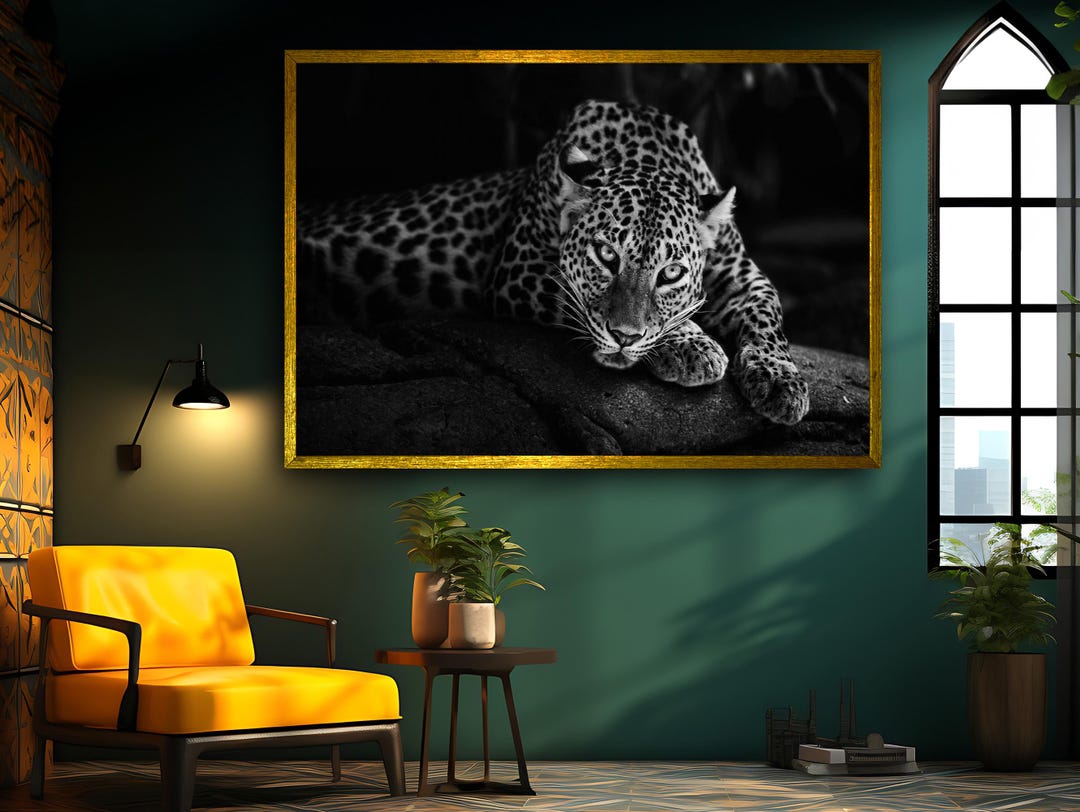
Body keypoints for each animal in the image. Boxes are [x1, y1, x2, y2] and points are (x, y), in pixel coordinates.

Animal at [298, 99, 810, 426]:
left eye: (671, 273)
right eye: (606, 256)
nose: (624, 338)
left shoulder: (744, 278)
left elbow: (769, 316)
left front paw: (782, 382)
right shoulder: (518, 270)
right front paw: (692, 346)